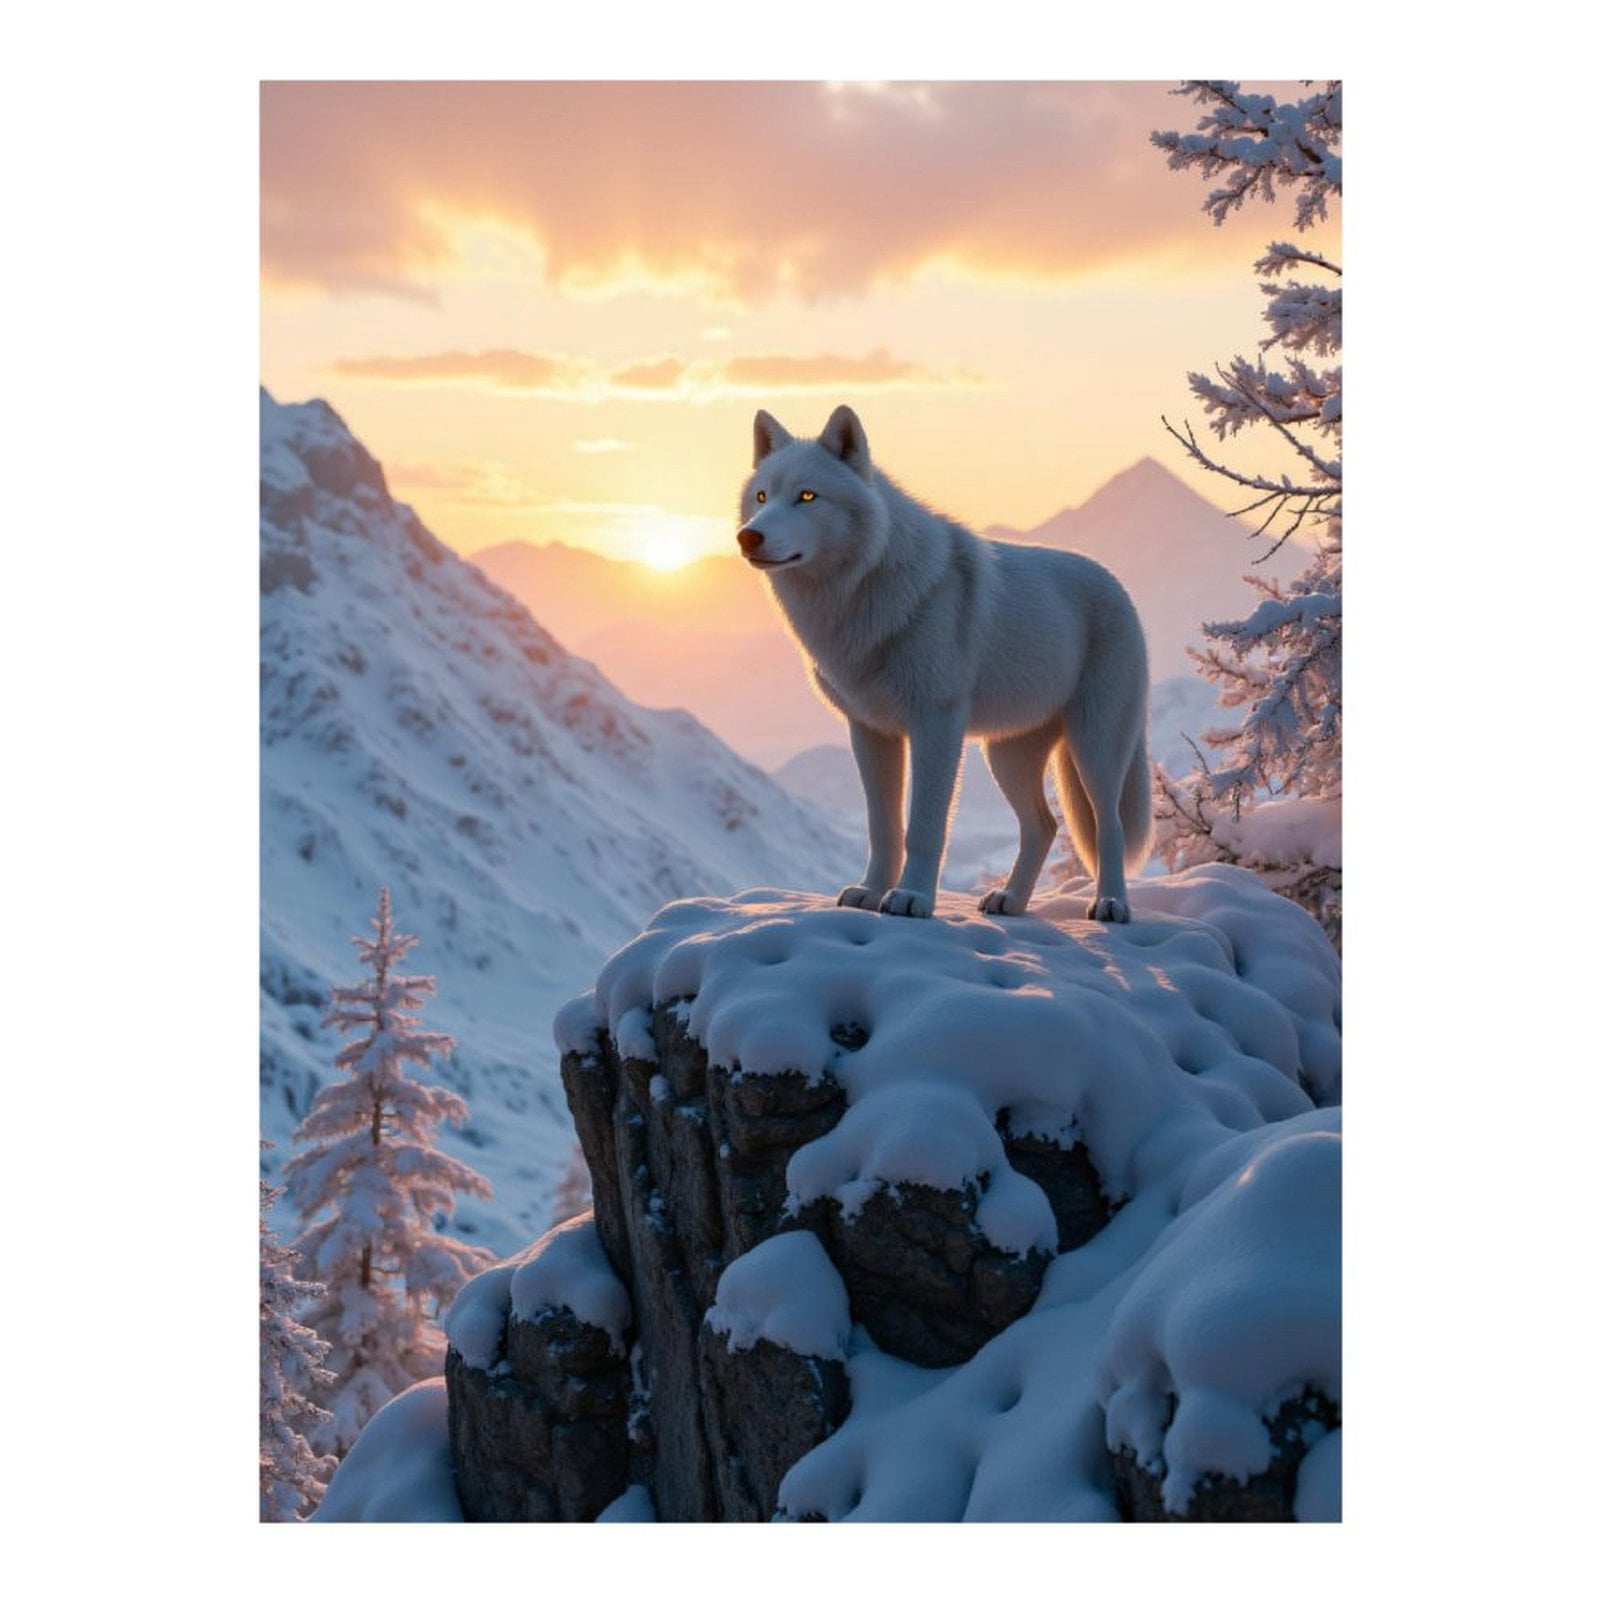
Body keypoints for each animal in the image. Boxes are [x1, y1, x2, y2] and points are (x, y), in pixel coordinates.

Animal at [738, 404, 1152, 922]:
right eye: (761, 496)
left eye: (807, 496)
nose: (748, 536)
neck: (863, 590)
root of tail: (1121, 589)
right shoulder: (870, 732)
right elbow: (883, 827)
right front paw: (871, 892)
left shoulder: (935, 724)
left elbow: (924, 826)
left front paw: (911, 898)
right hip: (1006, 756)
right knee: (1044, 825)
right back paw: (1009, 901)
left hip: (1094, 747)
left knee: (1107, 826)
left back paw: (1111, 904)